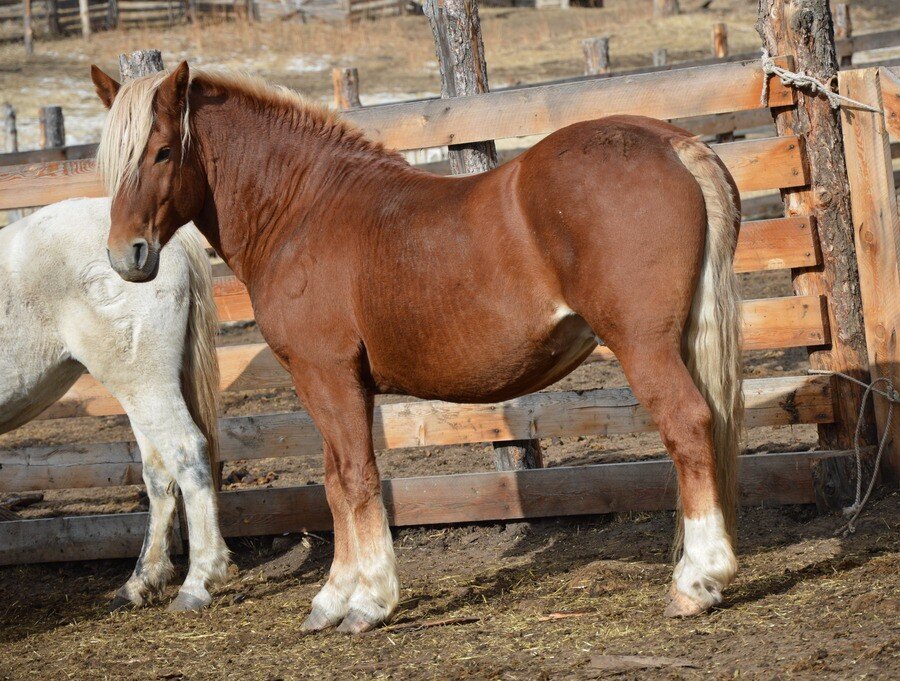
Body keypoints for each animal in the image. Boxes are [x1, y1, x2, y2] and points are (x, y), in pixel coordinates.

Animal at [0, 198, 230, 612]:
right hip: (141, 388)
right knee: (159, 473)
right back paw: (139, 582)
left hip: (143, 382)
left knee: (187, 452)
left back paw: (197, 581)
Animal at [89, 63, 744, 632]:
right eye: (111, 162)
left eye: (162, 151)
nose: (127, 254)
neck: (303, 210)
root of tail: (671, 142)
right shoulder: (325, 383)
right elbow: (334, 482)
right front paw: (330, 600)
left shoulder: (328, 375)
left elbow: (356, 479)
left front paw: (369, 602)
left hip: (643, 345)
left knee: (687, 425)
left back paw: (698, 581)